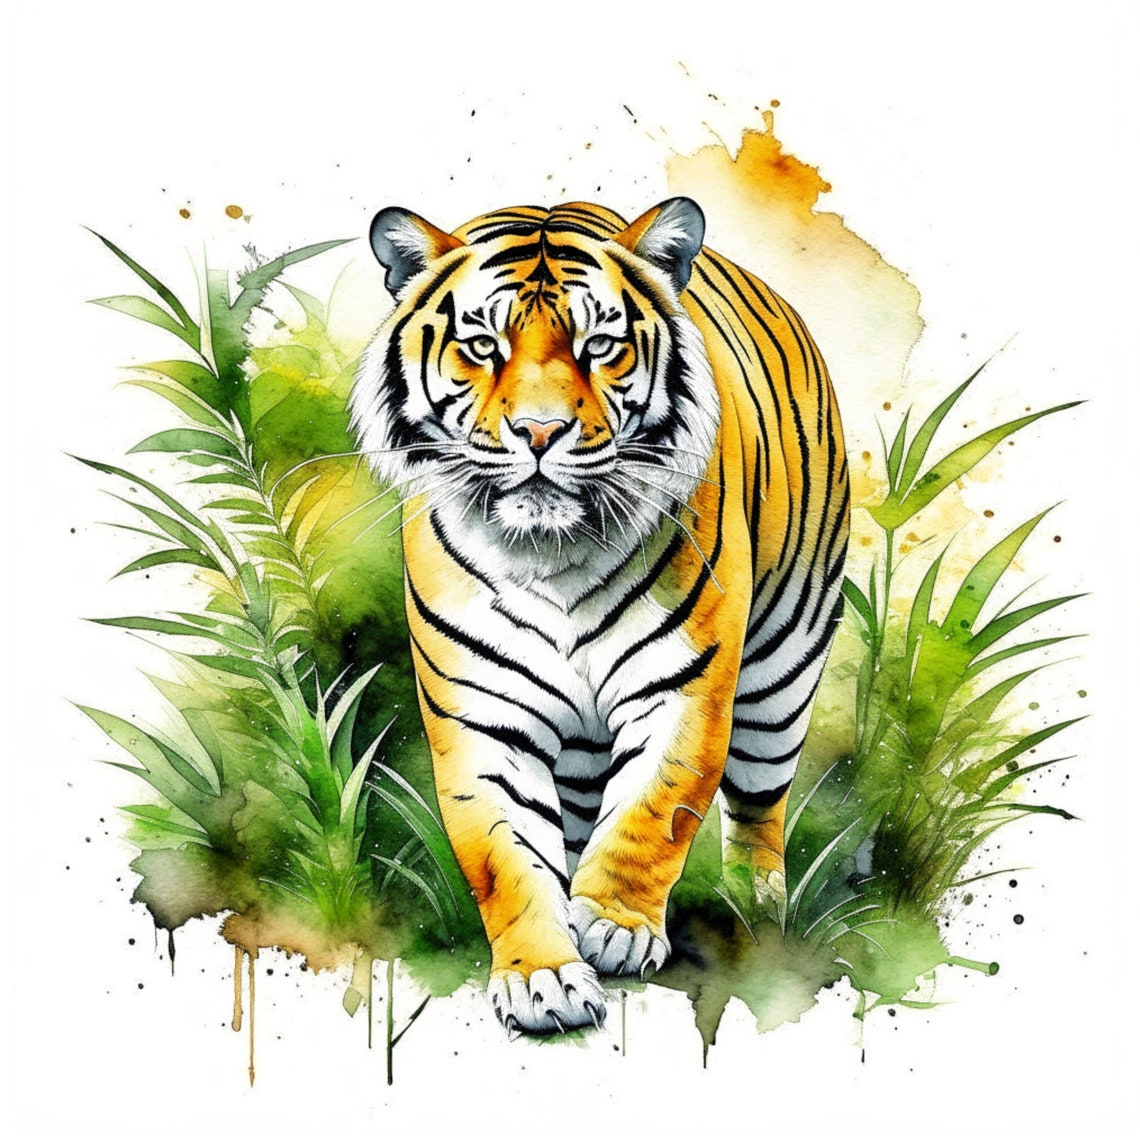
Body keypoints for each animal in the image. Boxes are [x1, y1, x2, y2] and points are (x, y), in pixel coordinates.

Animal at [349, 197, 849, 1036]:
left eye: (601, 346)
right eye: (481, 347)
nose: (540, 433)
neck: (552, 554)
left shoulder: (685, 690)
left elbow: (652, 812)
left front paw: (614, 928)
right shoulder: (482, 718)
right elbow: (508, 854)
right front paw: (545, 977)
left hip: (784, 670)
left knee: (756, 807)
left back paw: (758, 913)